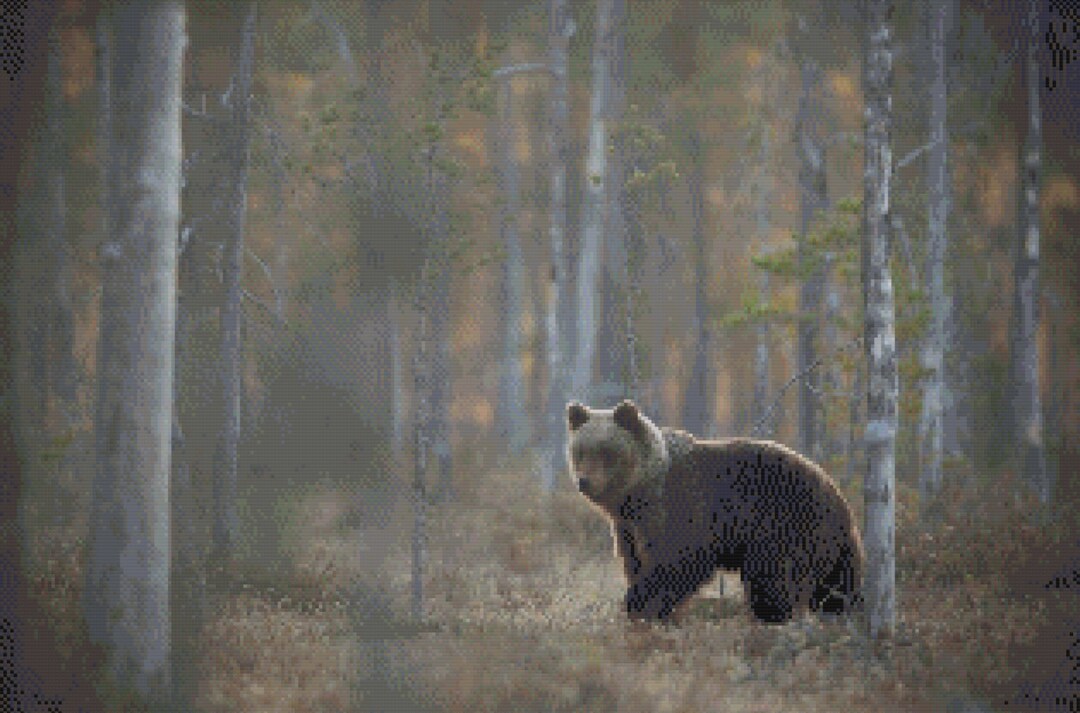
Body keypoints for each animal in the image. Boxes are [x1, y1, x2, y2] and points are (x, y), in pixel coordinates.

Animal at [566, 399, 863, 624]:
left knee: (771, 581)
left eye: (606, 452)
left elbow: (678, 562)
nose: (584, 481)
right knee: (838, 590)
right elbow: (635, 562)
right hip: (832, 549)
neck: (641, 494)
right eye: (580, 451)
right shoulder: (629, 528)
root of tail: (840, 500)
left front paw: (641, 604)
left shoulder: (685, 506)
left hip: (787, 526)